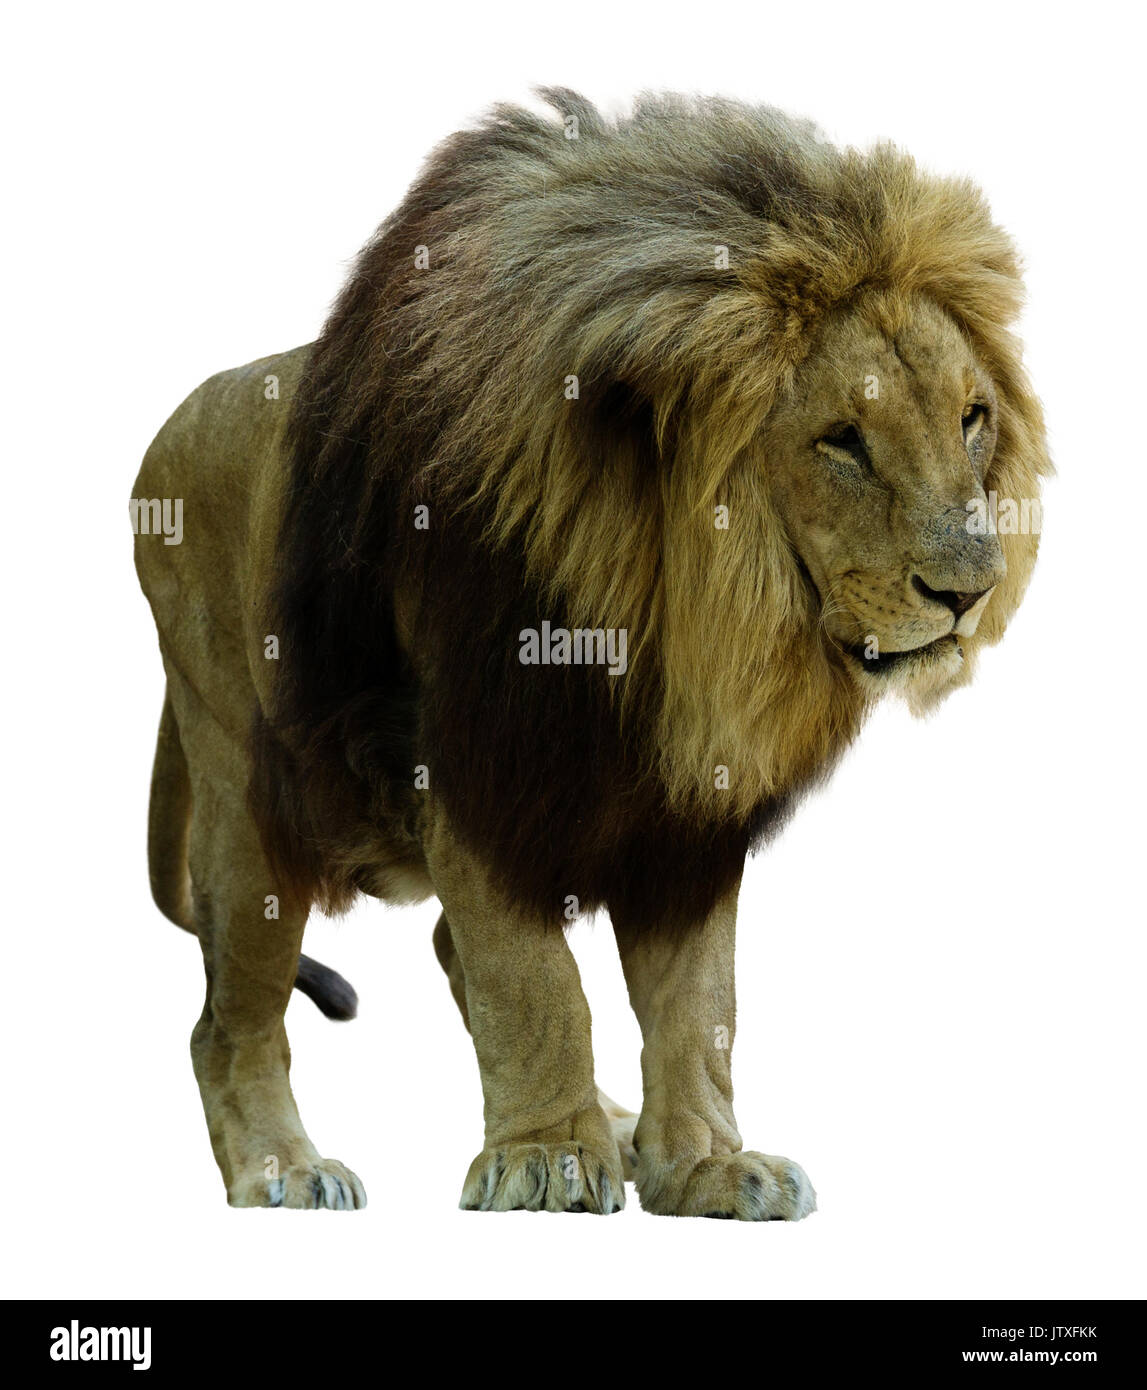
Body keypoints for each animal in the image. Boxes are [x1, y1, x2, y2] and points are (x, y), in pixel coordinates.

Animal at [133, 89, 1050, 1216]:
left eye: (971, 419)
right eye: (841, 439)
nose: (970, 589)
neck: (674, 621)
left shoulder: (690, 814)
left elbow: (698, 1004)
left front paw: (701, 1162)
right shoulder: (471, 764)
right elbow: (534, 980)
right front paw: (544, 1159)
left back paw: (612, 1126)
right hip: (244, 795)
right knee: (229, 1021)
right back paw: (287, 1169)